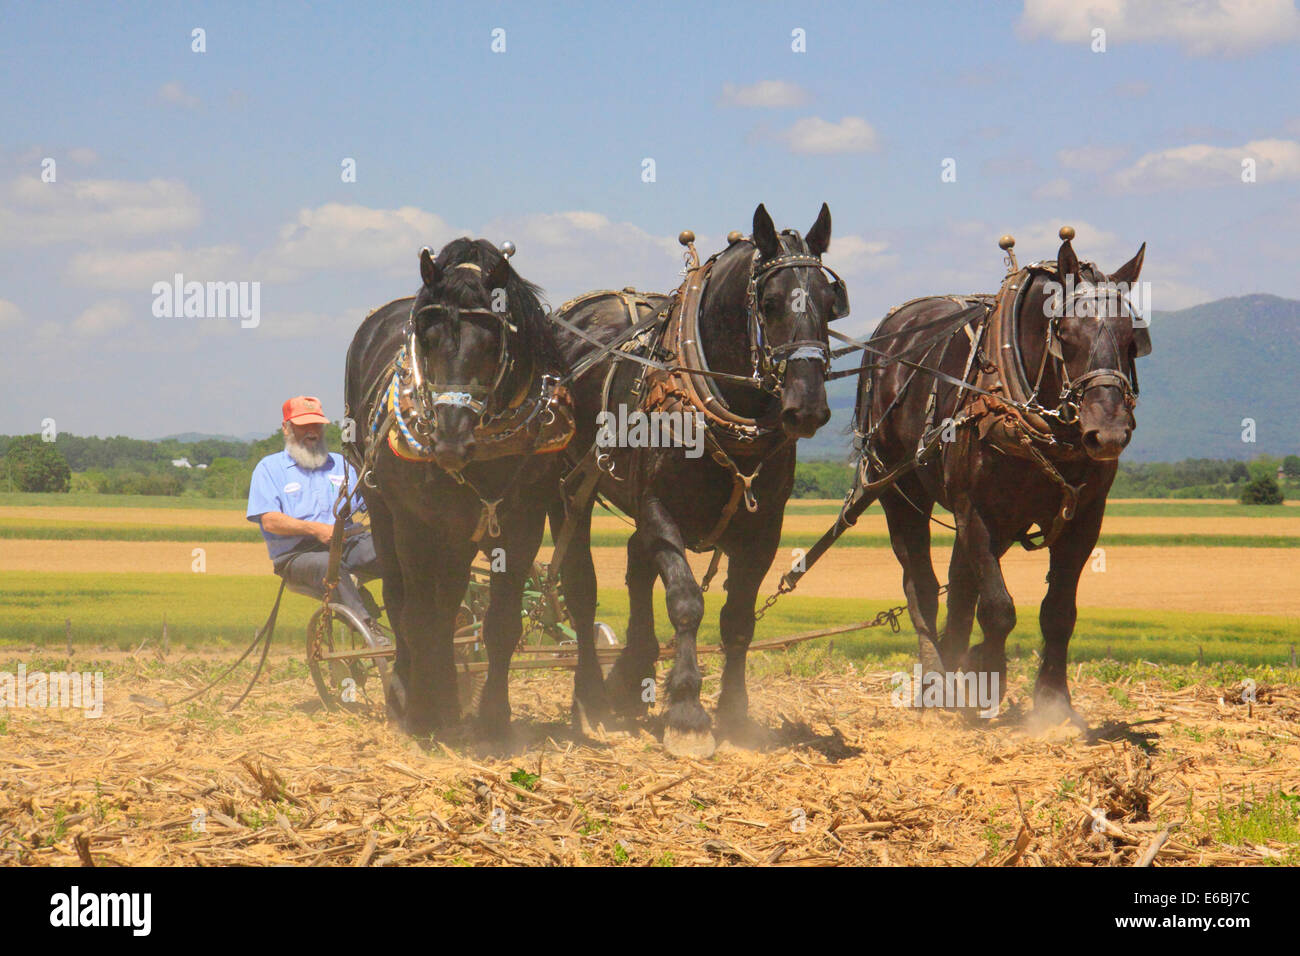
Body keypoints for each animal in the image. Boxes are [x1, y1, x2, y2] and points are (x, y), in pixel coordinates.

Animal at [343, 238, 583, 738]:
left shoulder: (522, 528)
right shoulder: (414, 526)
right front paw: (420, 712)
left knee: (450, 605)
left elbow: (498, 624)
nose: (449, 440)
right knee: (401, 602)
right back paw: (407, 694)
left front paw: (493, 719)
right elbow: (416, 616)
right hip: (384, 514)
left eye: (492, 341)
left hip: (456, 536)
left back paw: (447, 699)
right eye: (426, 337)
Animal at [550, 203, 844, 756]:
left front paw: (734, 713)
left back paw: (632, 674)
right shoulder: (659, 508)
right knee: (580, 587)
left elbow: (738, 620)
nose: (808, 407)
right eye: (770, 303)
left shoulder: (764, 527)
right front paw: (687, 713)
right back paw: (592, 698)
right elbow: (686, 601)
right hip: (566, 488)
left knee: (636, 563)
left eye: (829, 302)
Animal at [852, 228, 1148, 722]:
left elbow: (1057, 612)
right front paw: (988, 680)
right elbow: (997, 609)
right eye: (1066, 335)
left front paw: (1053, 702)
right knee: (923, 586)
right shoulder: (976, 512)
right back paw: (935, 679)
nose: (1107, 433)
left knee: (959, 586)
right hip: (896, 487)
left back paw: (954, 662)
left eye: (1132, 338)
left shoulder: (1085, 518)